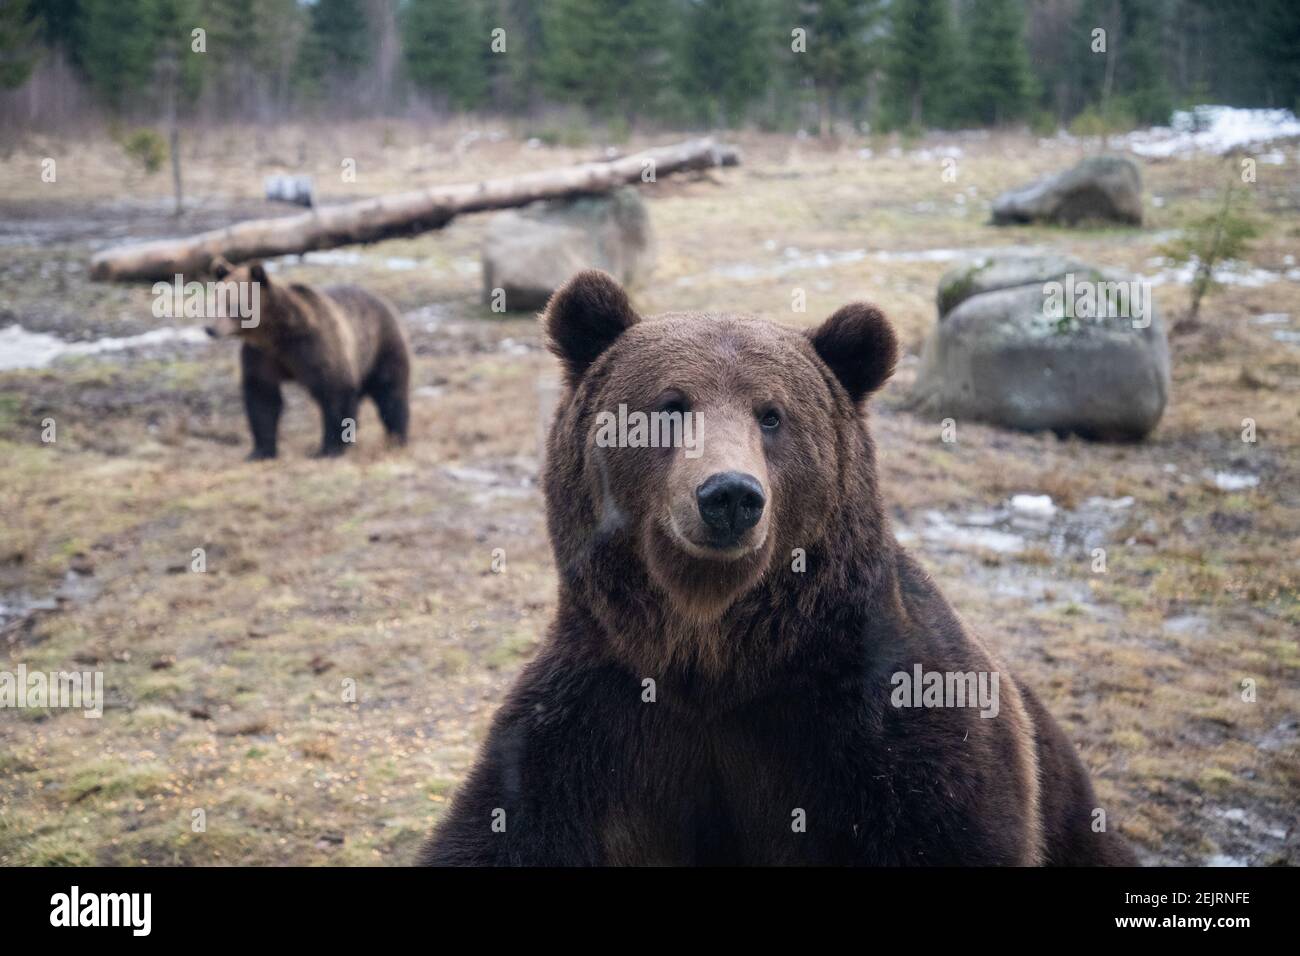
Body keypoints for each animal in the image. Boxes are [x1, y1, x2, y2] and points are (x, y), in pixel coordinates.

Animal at [205, 258, 411, 460]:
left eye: (232, 305)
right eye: (214, 302)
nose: (210, 329)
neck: (274, 333)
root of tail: (382, 299)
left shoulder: (314, 346)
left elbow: (334, 390)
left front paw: (329, 448)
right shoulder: (260, 355)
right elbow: (262, 395)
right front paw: (260, 451)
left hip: (381, 346)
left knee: (389, 391)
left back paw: (397, 438)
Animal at [420, 270, 1136, 866]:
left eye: (772, 414)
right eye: (670, 405)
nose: (729, 494)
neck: (714, 659)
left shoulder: (889, 730)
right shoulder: (591, 729)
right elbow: (503, 832)